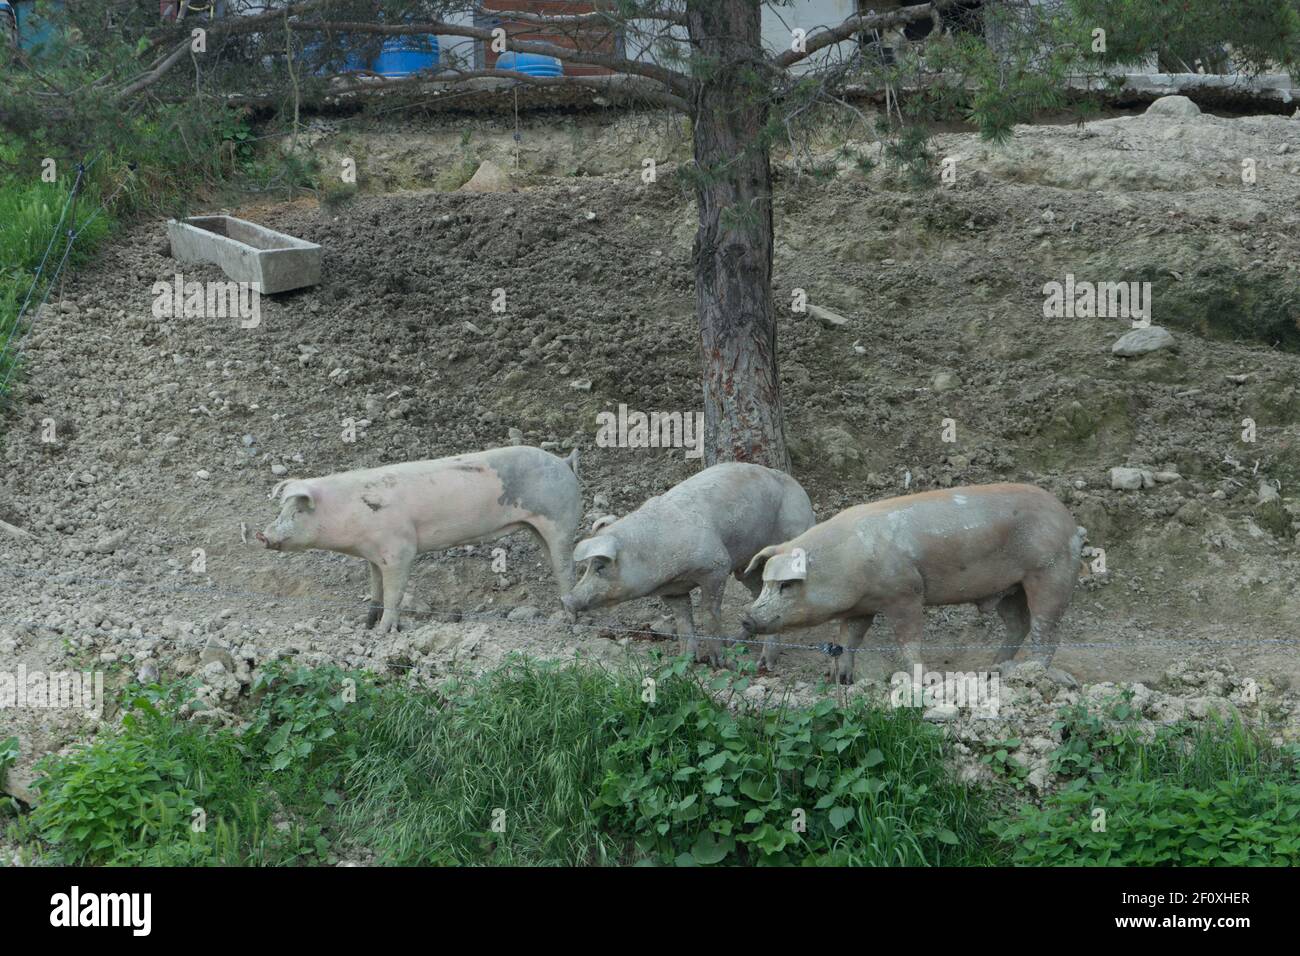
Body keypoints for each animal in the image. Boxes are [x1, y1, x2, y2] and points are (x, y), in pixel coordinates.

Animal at [257, 446, 582, 633]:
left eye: (297, 510)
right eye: (282, 509)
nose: (262, 535)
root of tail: (564, 463)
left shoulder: (399, 550)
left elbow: (394, 594)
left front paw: (383, 632)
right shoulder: (373, 555)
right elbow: (375, 588)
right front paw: (366, 624)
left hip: (561, 519)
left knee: (566, 567)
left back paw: (569, 619)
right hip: (536, 527)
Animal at [560, 462, 815, 667]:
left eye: (600, 567)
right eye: (587, 567)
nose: (567, 599)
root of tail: (802, 492)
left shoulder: (717, 565)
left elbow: (709, 614)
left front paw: (720, 663)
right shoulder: (672, 591)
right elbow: (684, 623)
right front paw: (685, 662)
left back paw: (765, 664)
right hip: (745, 568)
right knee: (758, 594)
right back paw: (735, 642)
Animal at [740, 483, 1085, 684]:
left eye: (786, 585)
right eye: (766, 583)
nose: (746, 617)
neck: (847, 562)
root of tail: (1071, 524)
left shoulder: (905, 593)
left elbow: (908, 640)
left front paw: (924, 681)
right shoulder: (861, 606)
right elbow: (849, 638)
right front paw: (841, 679)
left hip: (1050, 573)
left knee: (1046, 630)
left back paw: (1031, 674)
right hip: (1010, 590)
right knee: (1018, 623)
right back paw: (993, 672)